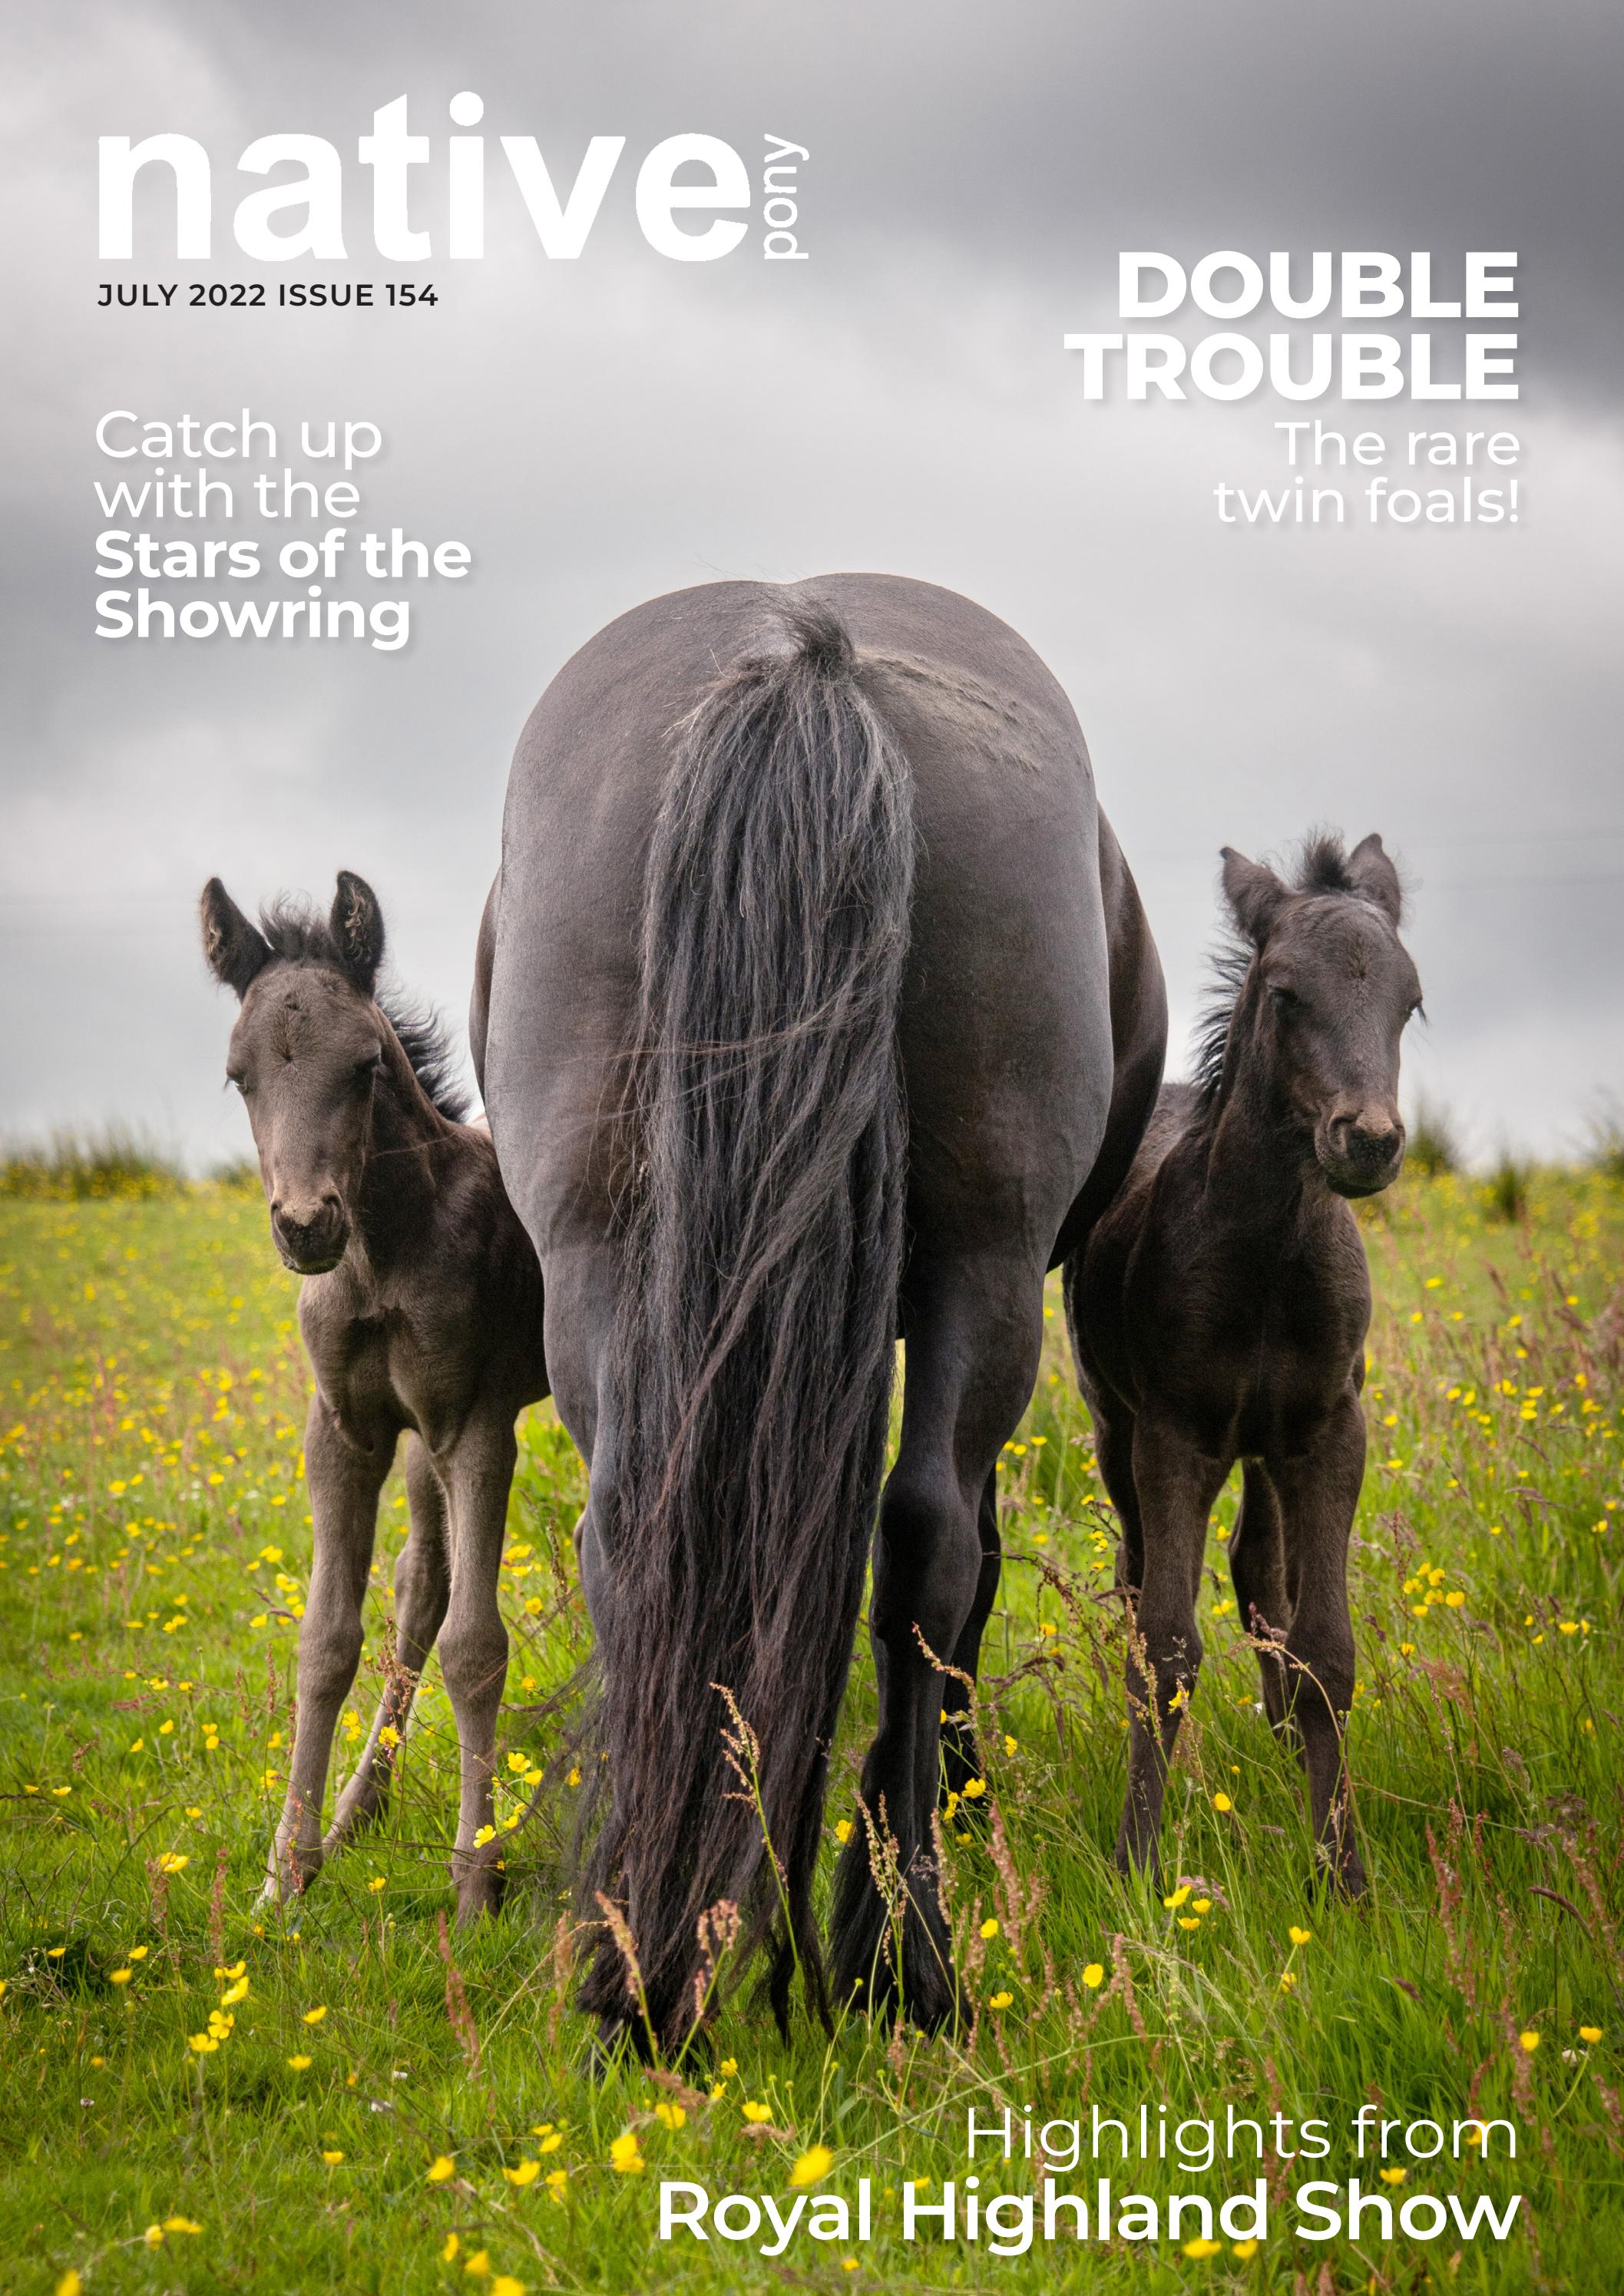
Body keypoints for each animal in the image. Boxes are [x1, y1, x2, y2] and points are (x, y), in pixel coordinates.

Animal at [200, 870, 547, 1920]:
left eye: (363, 1068)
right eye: (240, 1075)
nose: (307, 1224)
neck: (386, 1251)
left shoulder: (478, 1422)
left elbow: (478, 1645)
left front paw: (476, 1881)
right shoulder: (348, 1429)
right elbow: (327, 1638)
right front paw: (286, 1874)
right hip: (420, 1440)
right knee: (419, 1585)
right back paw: (360, 1811)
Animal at [472, 575, 1165, 2049]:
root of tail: (802, 648)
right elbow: (975, 1576)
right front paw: (956, 1789)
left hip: (601, 1256)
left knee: (640, 1532)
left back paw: (644, 1973)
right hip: (987, 1262)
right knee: (933, 1543)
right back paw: (905, 1960)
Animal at [1064, 832, 1422, 1897]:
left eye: (1410, 1000)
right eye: (1287, 995)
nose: (1369, 1139)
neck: (1267, 1262)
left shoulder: (1328, 1429)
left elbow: (1326, 1648)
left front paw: (1343, 1873)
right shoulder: (1175, 1433)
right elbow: (1167, 1644)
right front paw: (1139, 1858)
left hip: (1263, 1447)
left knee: (1257, 1568)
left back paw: (1279, 1735)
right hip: (1117, 1429)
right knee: (1142, 1580)